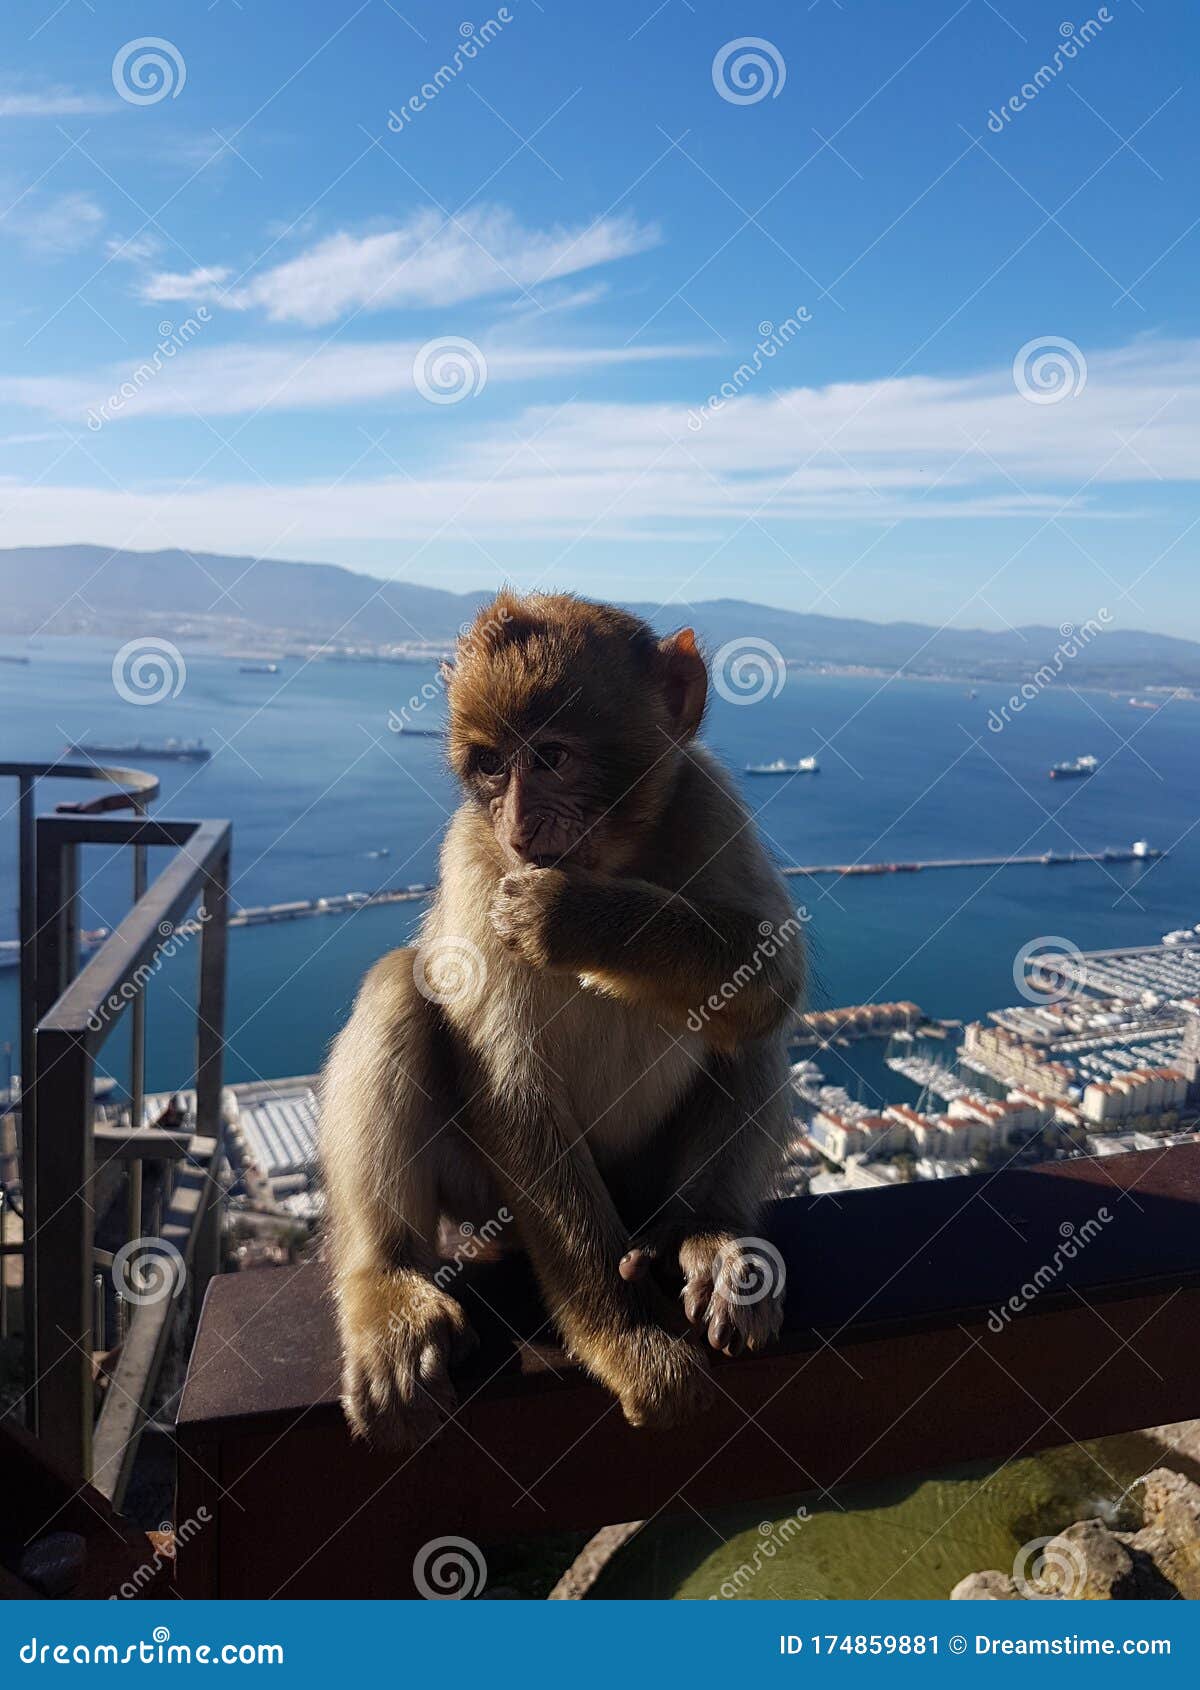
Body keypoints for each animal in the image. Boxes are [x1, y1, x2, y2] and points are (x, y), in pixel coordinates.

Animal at [319, 591, 805, 1451]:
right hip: (481, 1196)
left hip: (646, 1184)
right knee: (399, 989)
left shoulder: (707, 800)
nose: (520, 827)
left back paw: (708, 1233)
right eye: (490, 765)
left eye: (550, 757)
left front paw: (578, 918)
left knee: (746, 1035)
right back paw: (386, 1286)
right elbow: (511, 1089)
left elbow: (771, 972)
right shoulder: (475, 862)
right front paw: (631, 1344)